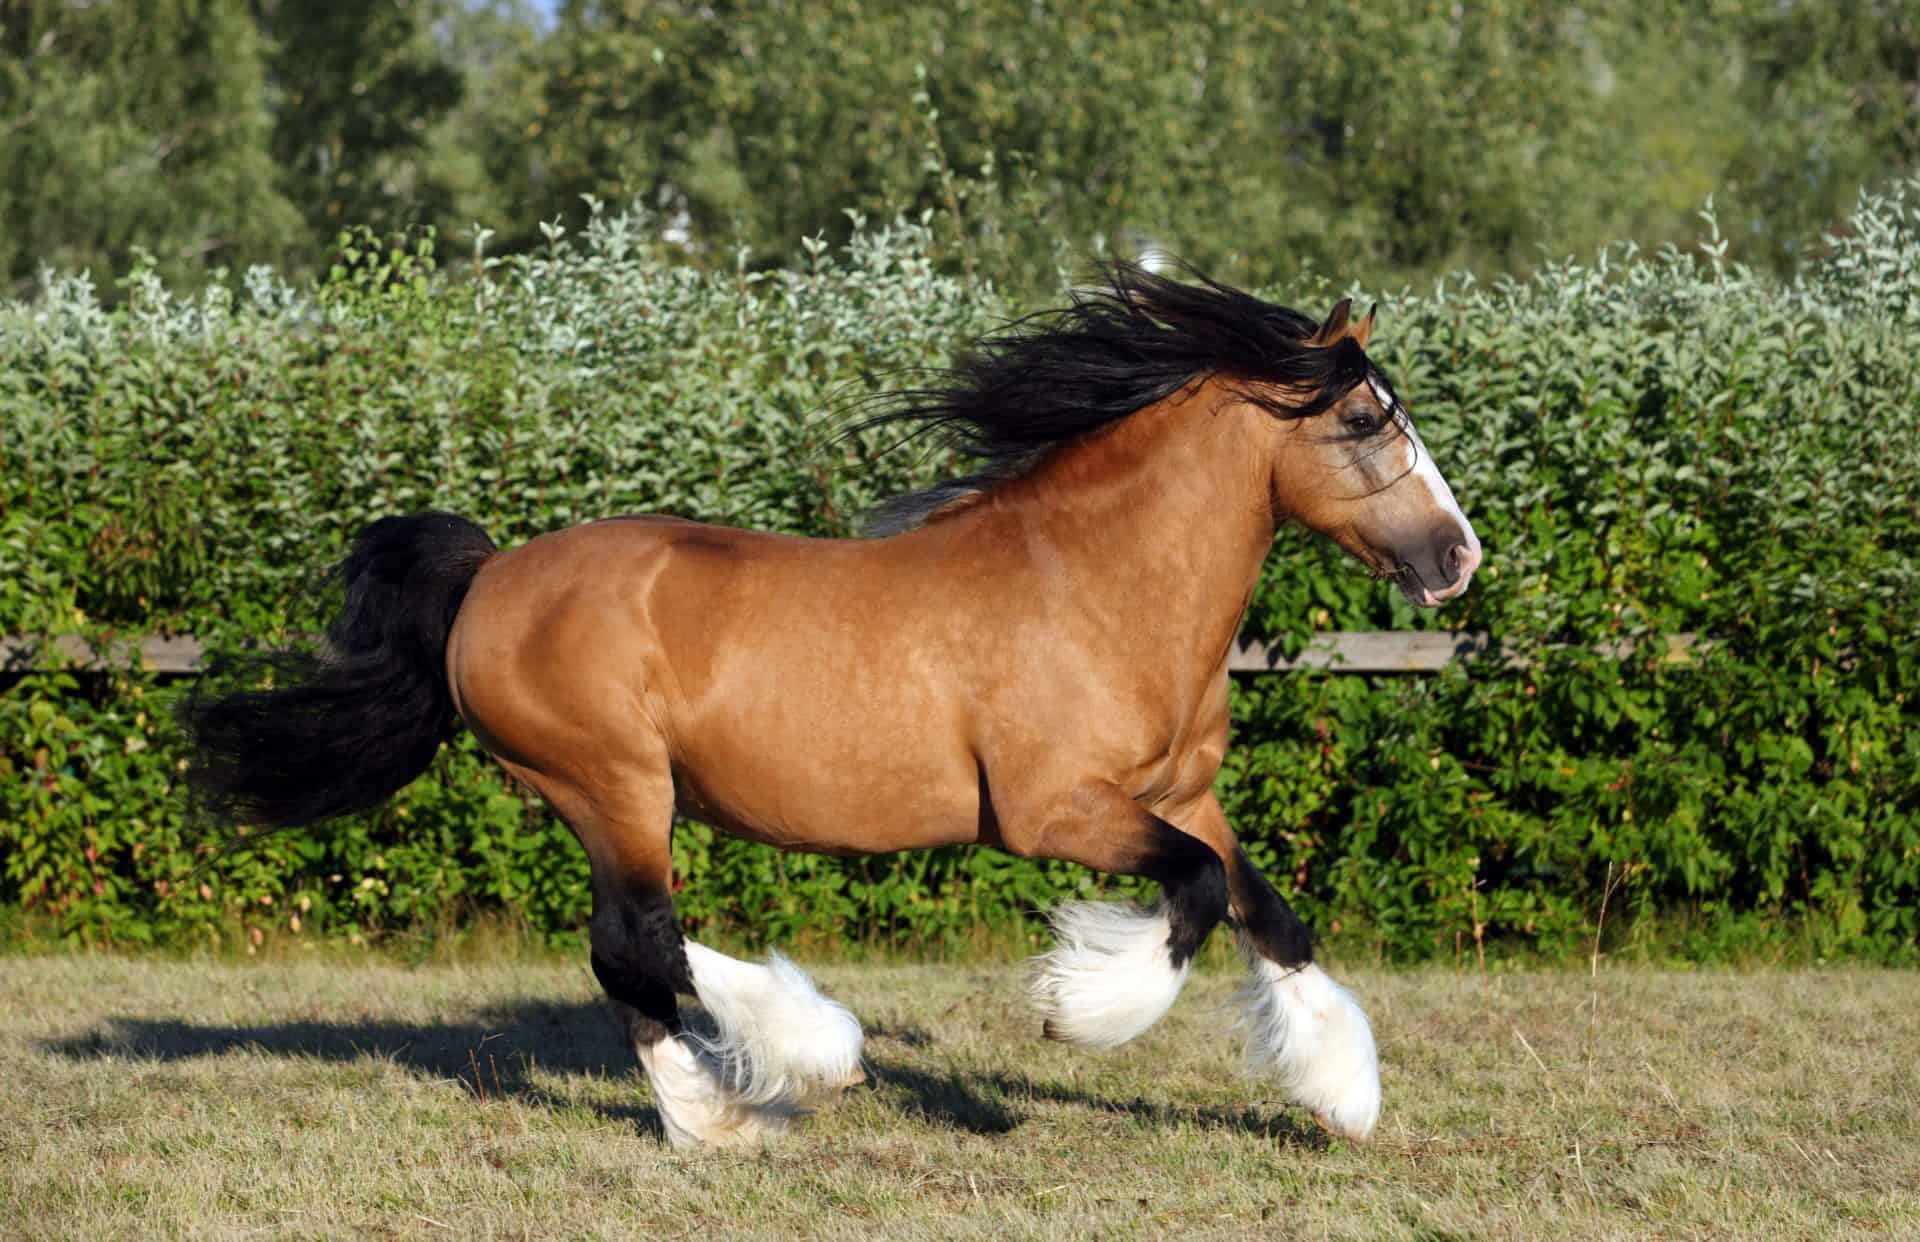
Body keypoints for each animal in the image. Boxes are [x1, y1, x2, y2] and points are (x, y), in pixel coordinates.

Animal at [184, 265, 1482, 1148]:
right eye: (1363, 422)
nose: (1458, 557)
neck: (1095, 582)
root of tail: (489, 579)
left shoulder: (1183, 795)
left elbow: (1271, 913)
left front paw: (1342, 1097)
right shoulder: (1054, 813)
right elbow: (1201, 899)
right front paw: (1074, 1009)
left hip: (611, 797)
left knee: (627, 959)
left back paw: (714, 1120)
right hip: (613, 786)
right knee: (639, 940)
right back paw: (807, 1060)